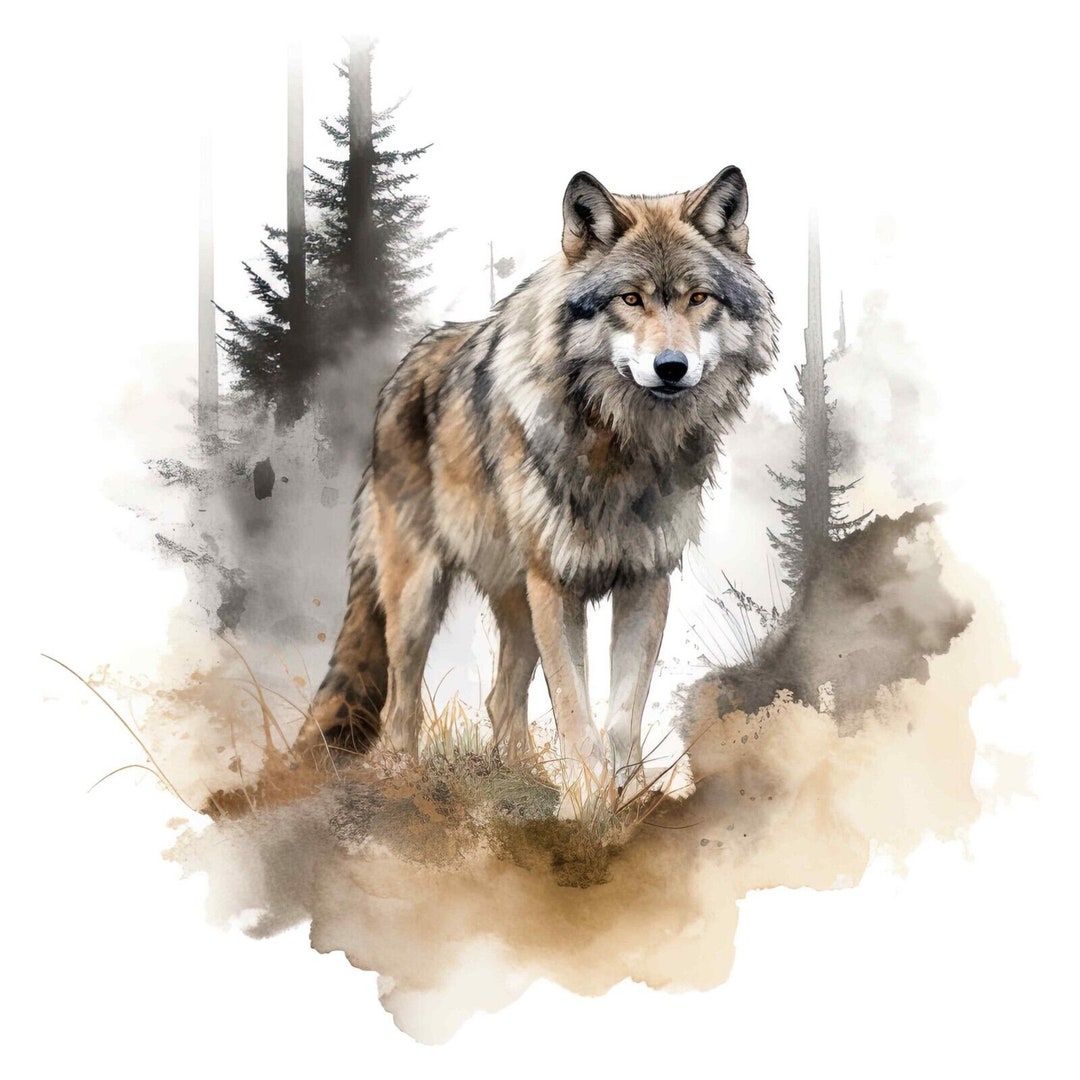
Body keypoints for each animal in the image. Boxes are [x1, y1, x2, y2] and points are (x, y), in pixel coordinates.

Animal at [294, 167, 778, 806]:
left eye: (699, 298)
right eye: (631, 299)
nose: (672, 367)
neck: (620, 444)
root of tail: (401, 371)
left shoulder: (646, 580)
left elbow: (622, 714)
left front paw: (629, 798)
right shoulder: (555, 582)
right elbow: (573, 707)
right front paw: (589, 802)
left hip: (515, 601)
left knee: (500, 699)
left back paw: (524, 781)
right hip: (420, 594)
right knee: (401, 700)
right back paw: (402, 779)